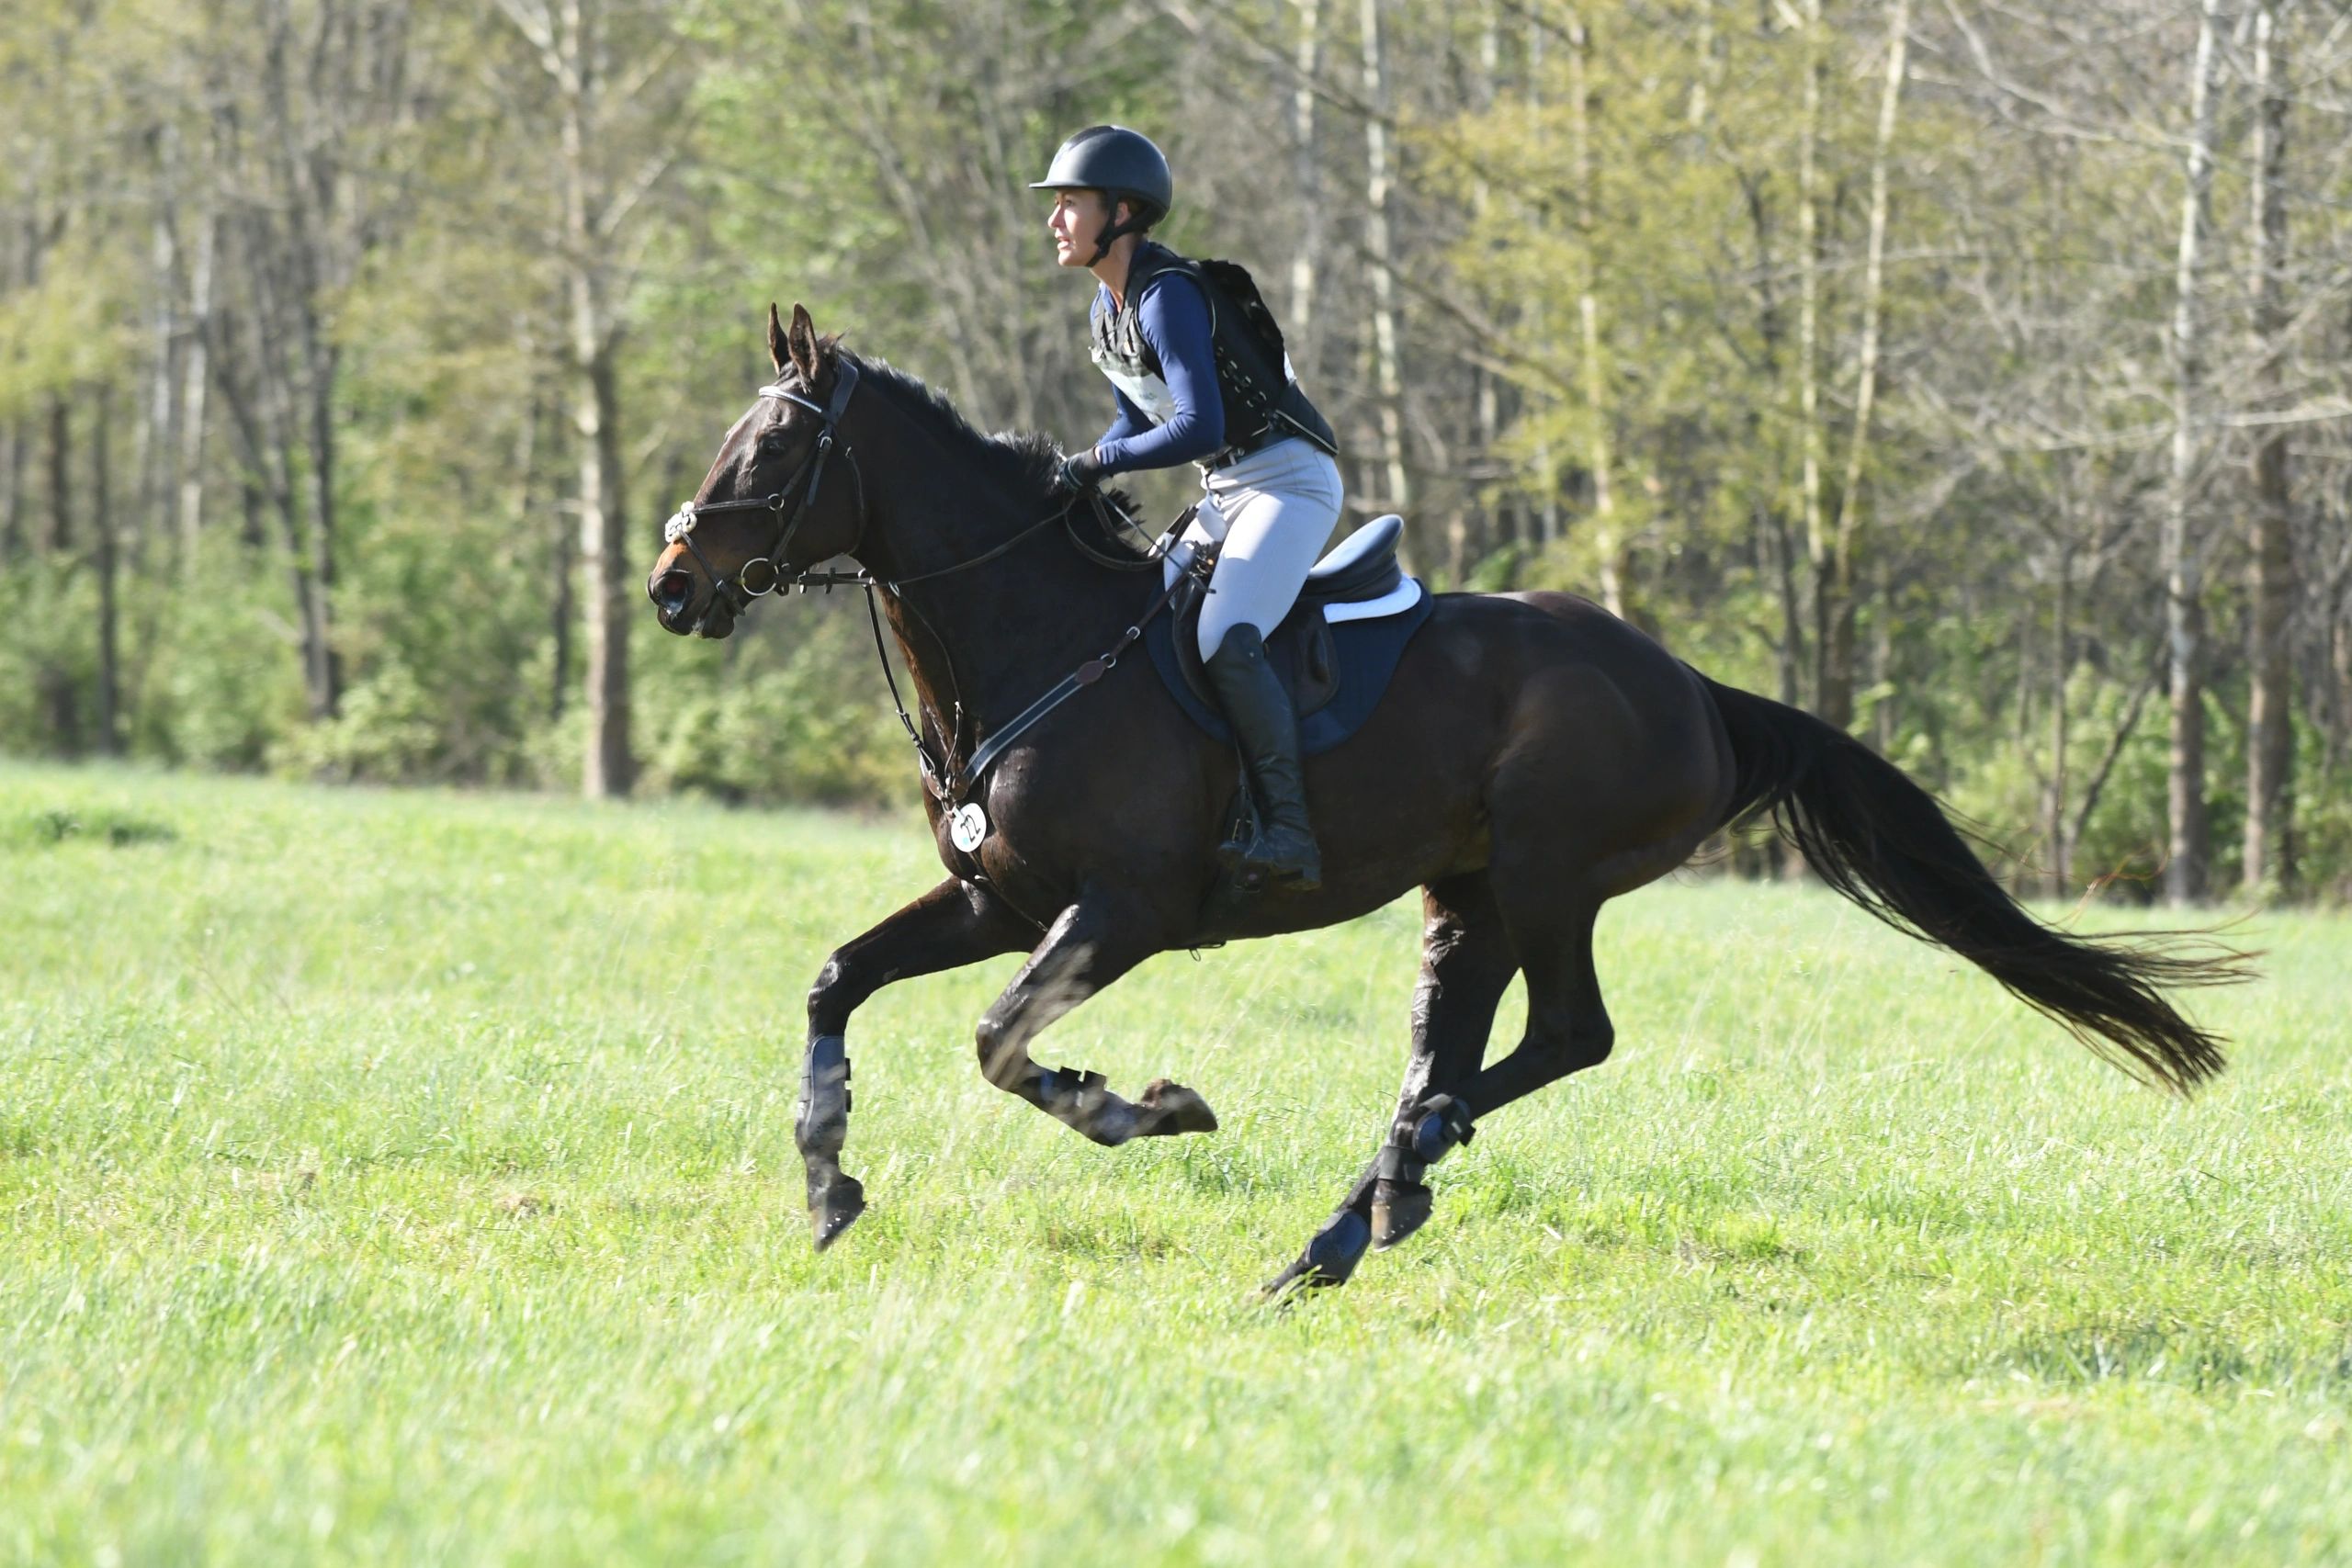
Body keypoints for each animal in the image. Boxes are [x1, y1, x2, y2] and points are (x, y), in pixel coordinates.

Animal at [645, 304, 2244, 1296]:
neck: (1035, 637)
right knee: (1451, 1048)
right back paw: (1359, 1216)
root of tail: (1695, 686)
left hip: (1548, 872)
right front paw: (828, 1183)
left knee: (1565, 1035)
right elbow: (838, 977)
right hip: (1462, 889)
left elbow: (1000, 1041)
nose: (670, 586)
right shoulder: (998, 893)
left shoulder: (1125, 907)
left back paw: (1381, 1192)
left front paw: (1146, 1106)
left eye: (771, 451)